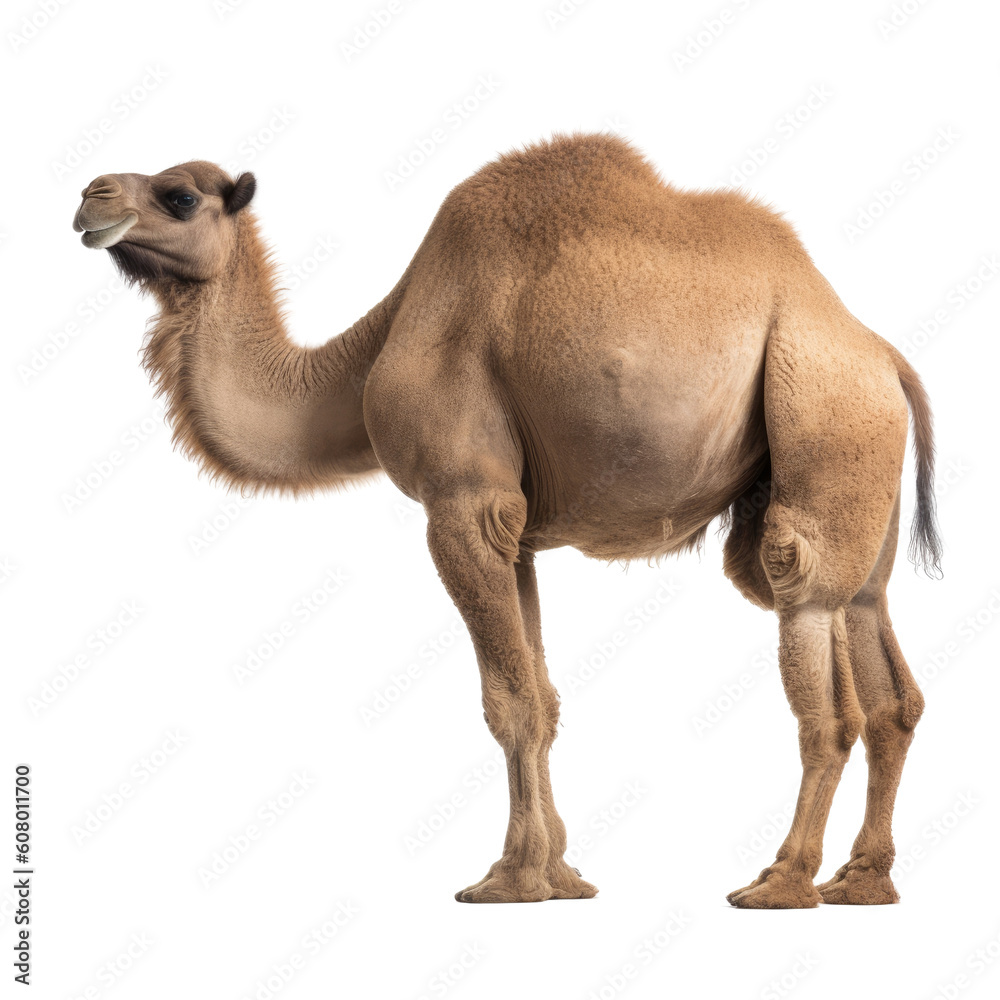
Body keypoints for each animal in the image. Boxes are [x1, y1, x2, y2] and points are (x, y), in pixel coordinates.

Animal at [72, 133, 941, 907]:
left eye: (179, 196)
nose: (91, 197)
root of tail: (884, 356)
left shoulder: (460, 500)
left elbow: (508, 703)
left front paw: (511, 880)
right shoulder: (514, 528)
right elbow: (543, 696)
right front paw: (561, 873)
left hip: (822, 408)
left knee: (815, 638)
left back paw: (780, 884)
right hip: (857, 464)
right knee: (880, 660)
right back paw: (861, 882)